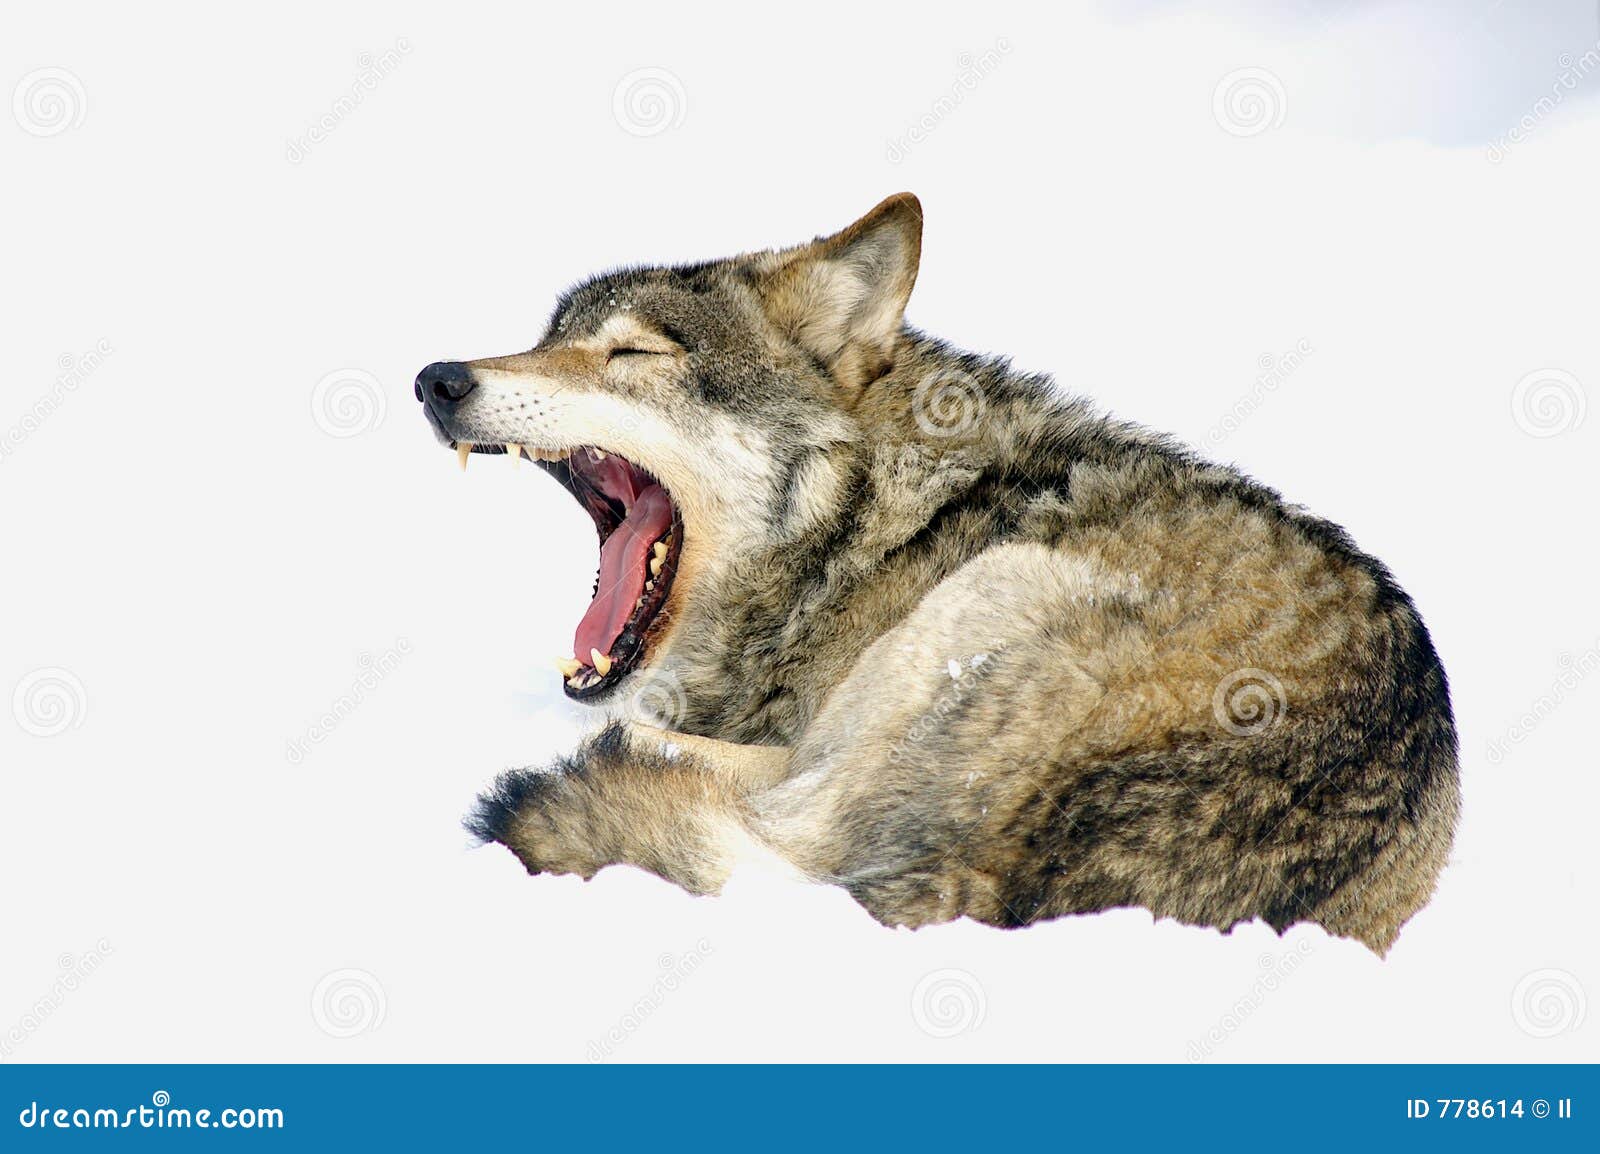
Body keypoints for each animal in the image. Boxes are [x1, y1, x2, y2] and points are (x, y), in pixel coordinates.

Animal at [415, 194, 1459, 954]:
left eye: (630, 352)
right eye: (548, 337)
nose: (437, 379)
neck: (861, 517)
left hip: (988, 596)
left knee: (741, 793)